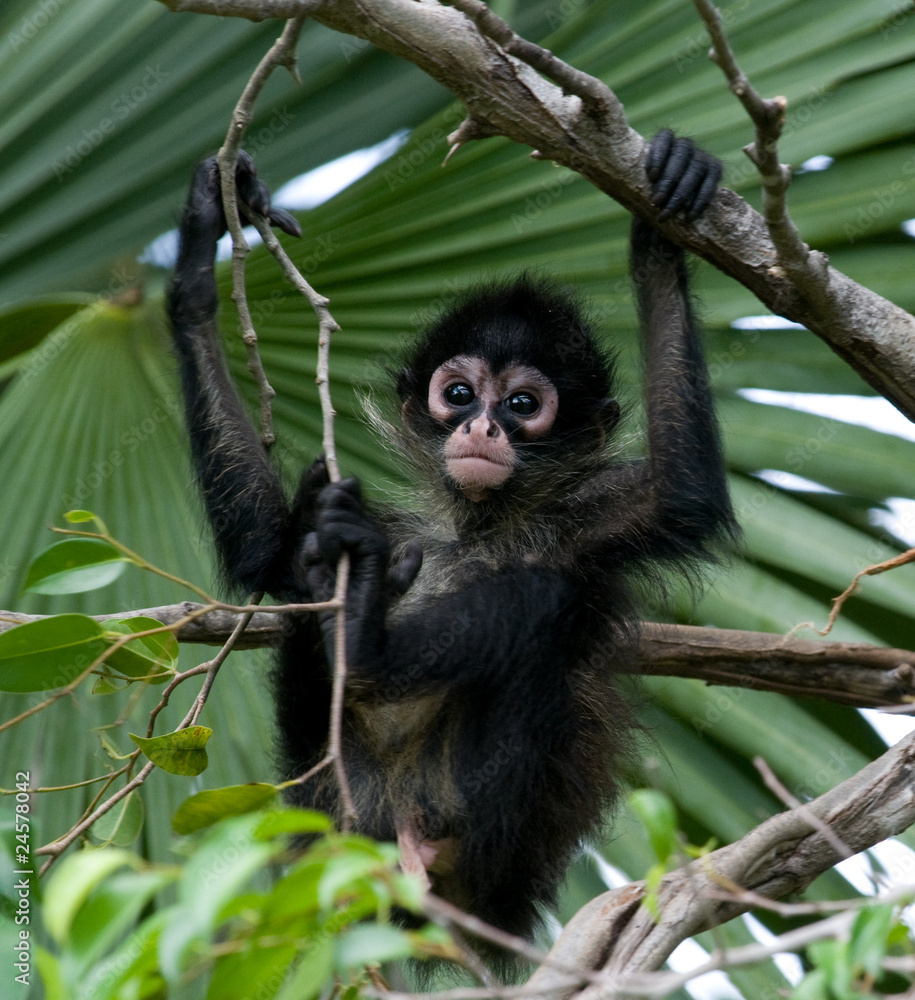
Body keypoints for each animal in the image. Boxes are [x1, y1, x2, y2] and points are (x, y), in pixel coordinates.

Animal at [166, 130, 736, 948]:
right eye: (460, 394)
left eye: (523, 405)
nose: (483, 428)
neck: (476, 525)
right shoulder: (408, 526)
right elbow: (269, 552)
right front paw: (195, 253)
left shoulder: (587, 522)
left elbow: (682, 496)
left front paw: (660, 234)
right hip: (335, 800)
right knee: (311, 586)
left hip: (486, 818)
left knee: (541, 595)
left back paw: (367, 640)